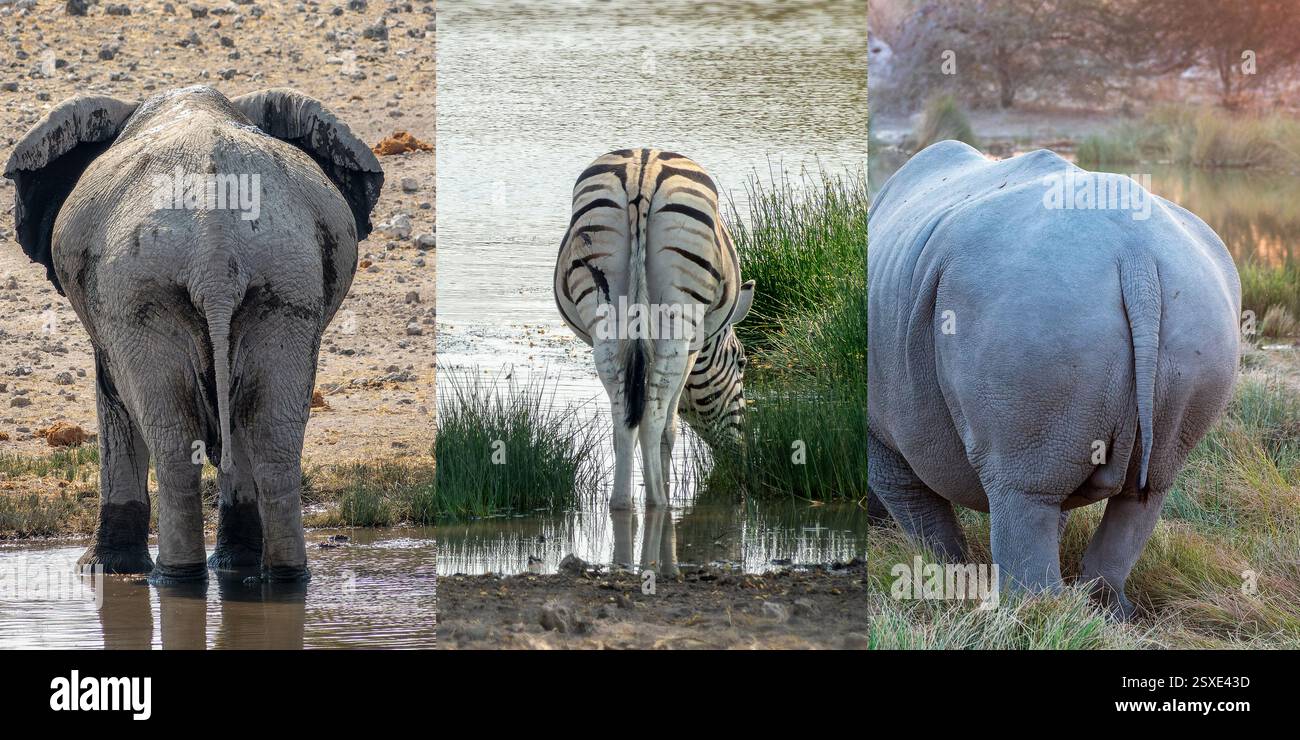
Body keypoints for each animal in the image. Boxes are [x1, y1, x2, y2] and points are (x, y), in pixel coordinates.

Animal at [3, 86, 383, 582]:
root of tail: (215, 249)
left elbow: (113, 402)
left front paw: (99, 571)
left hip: (142, 292)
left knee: (176, 443)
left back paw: (173, 578)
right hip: (286, 284)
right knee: (272, 438)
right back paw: (282, 579)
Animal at [554, 148, 755, 510]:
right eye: (742, 362)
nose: (740, 458)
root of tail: (643, 171)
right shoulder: (693, 347)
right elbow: (669, 427)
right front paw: (662, 481)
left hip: (605, 317)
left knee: (624, 416)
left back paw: (622, 502)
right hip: (677, 323)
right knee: (653, 416)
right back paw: (659, 502)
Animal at [867, 140, 1241, 617]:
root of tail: (1136, 257)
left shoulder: (882, 426)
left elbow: (913, 503)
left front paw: (941, 576)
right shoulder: (1068, 431)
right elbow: (1057, 507)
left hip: (1031, 307)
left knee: (1021, 490)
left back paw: (1018, 613)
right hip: (1197, 311)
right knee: (1144, 490)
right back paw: (1108, 610)